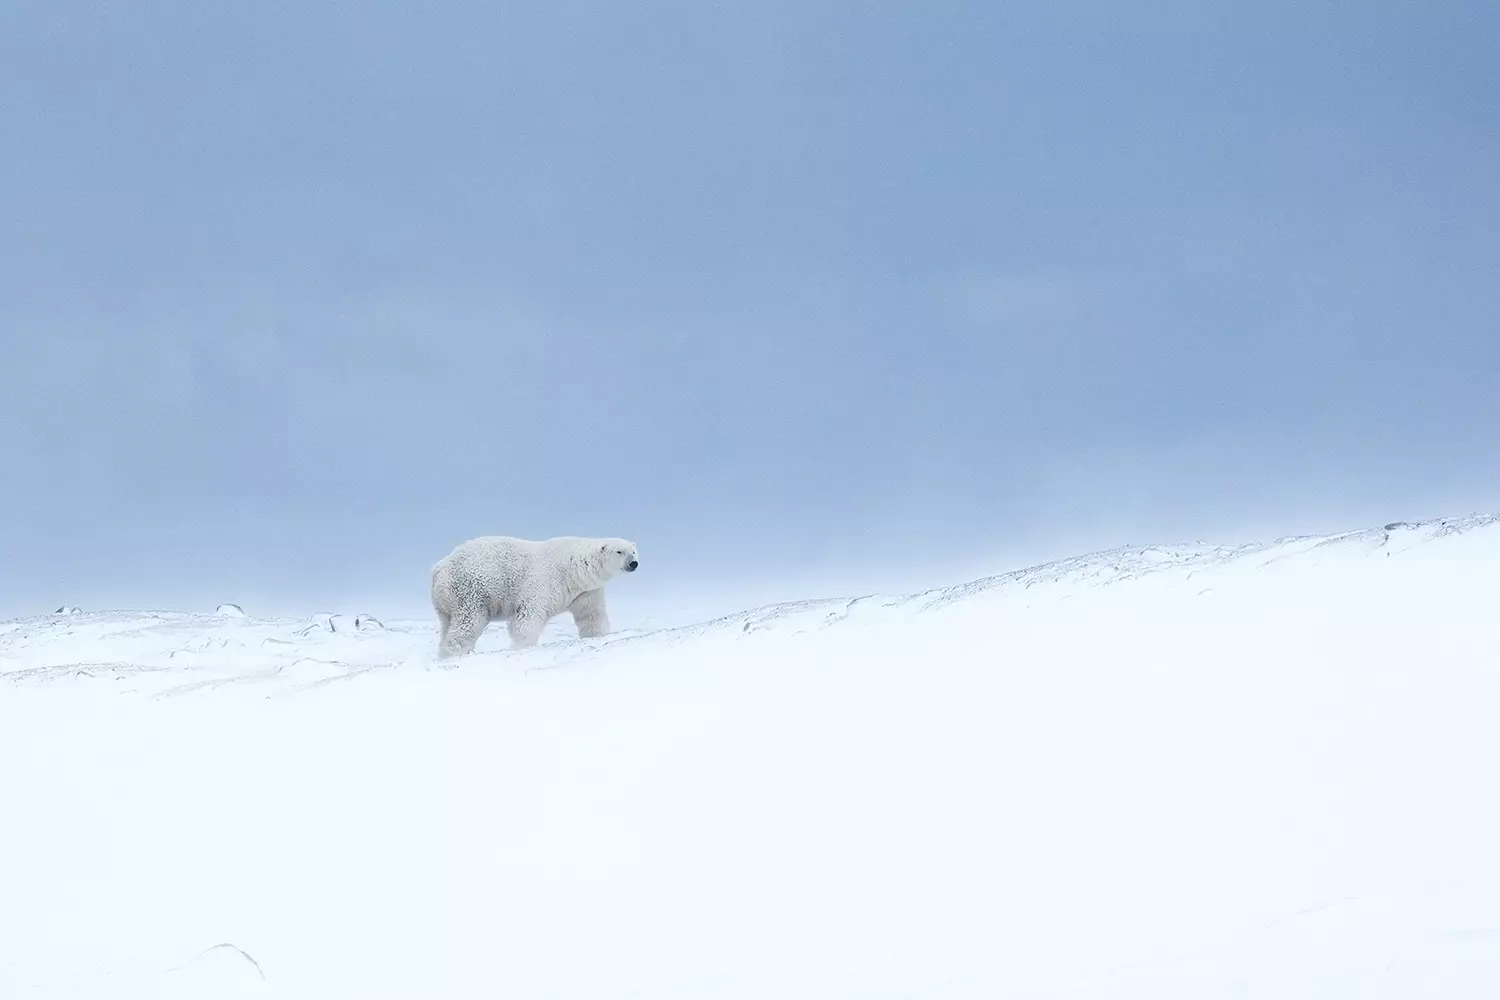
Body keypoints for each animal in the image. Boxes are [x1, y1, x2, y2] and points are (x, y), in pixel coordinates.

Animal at [429, 536, 639, 659]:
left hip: (445, 601)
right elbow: (527, 616)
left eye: (634, 550)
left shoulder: (585, 591)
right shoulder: (543, 581)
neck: (572, 567)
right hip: (471, 590)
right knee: (468, 623)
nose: (634, 563)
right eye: (619, 551)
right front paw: (521, 647)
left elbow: (591, 615)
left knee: (447, 624)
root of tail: (439, 568)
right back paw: (455, 654)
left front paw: (597, 635)